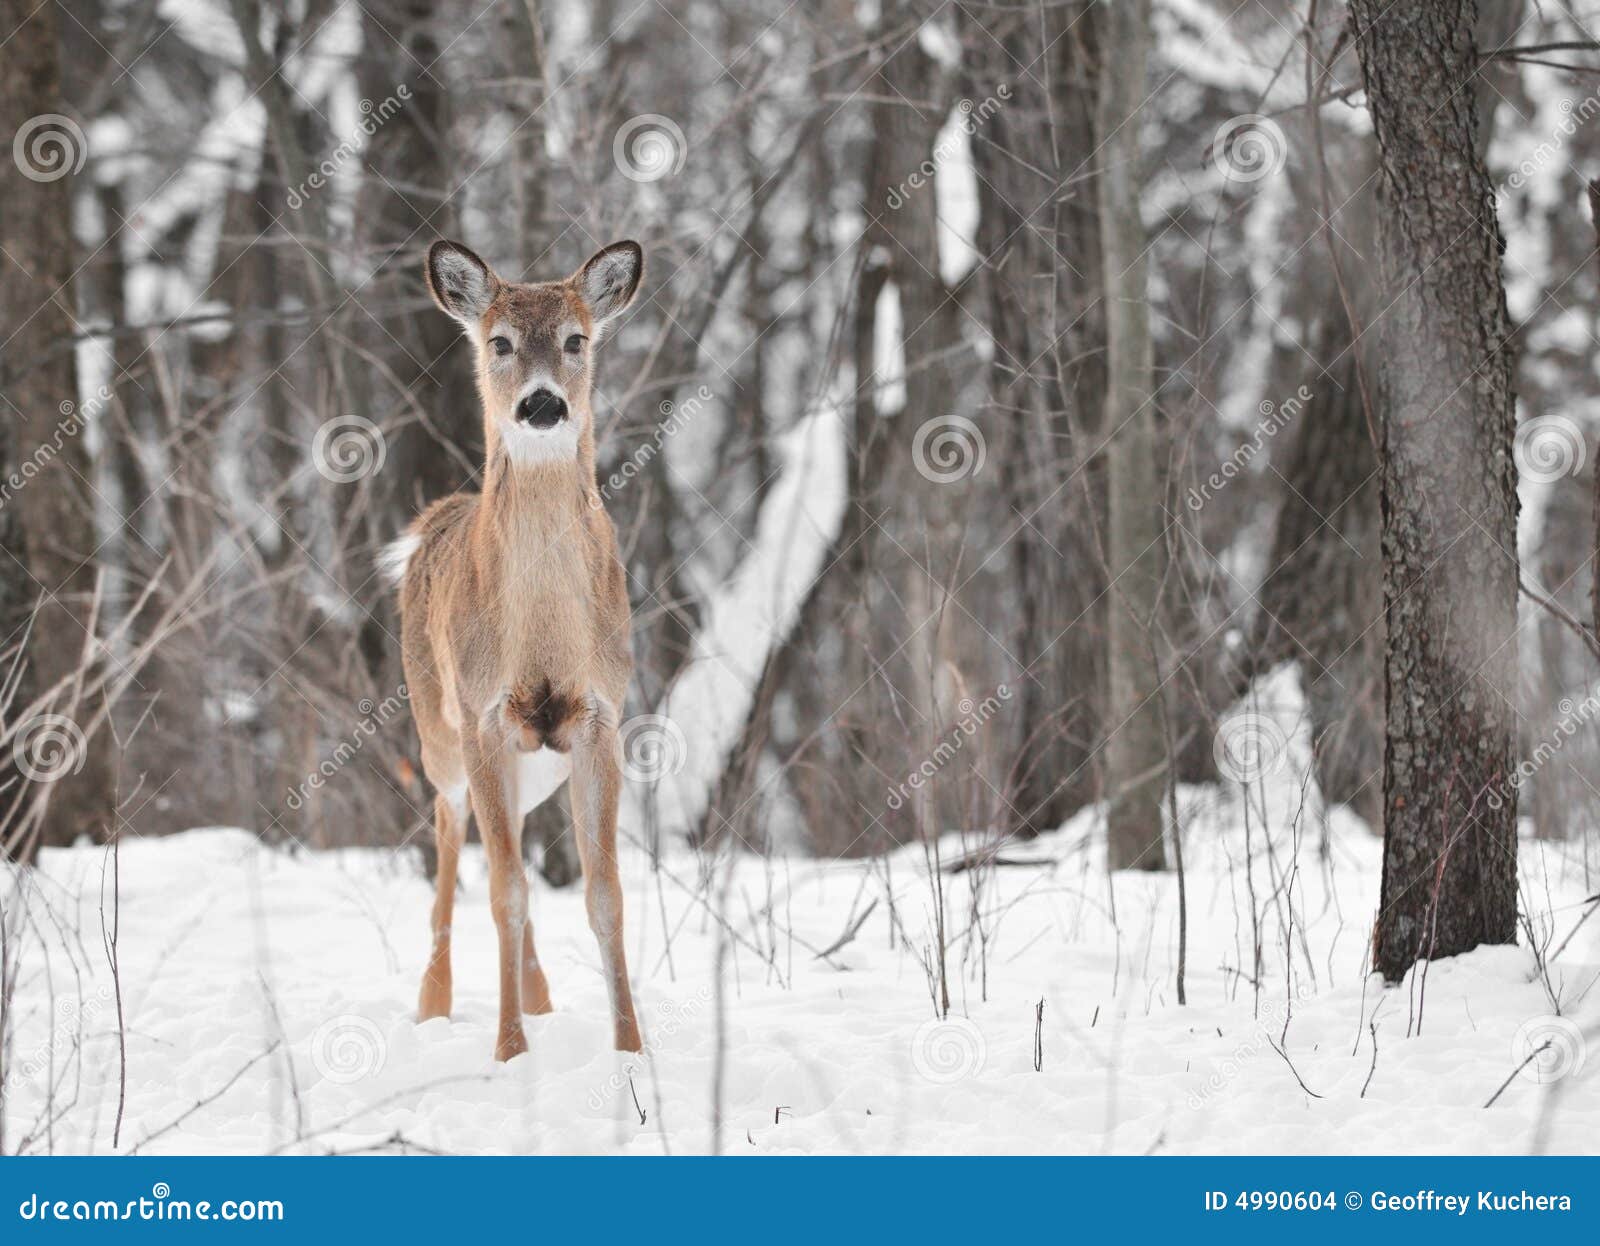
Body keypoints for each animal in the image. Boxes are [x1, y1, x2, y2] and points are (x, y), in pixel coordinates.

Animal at [382, 238, 644, 1062]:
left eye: (577, 339)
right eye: (499, 342)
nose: (542, 404)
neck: (543, 634)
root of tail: (437, 514)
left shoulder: (600, 715)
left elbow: (604, 894)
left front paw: (631, 1050)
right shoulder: (486, 714)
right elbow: (503, 893)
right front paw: (508, 1051)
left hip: (534, 762)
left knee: (516, 841)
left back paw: (539, 997)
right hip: (440, 730)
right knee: (448, 834)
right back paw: (434, 1004)